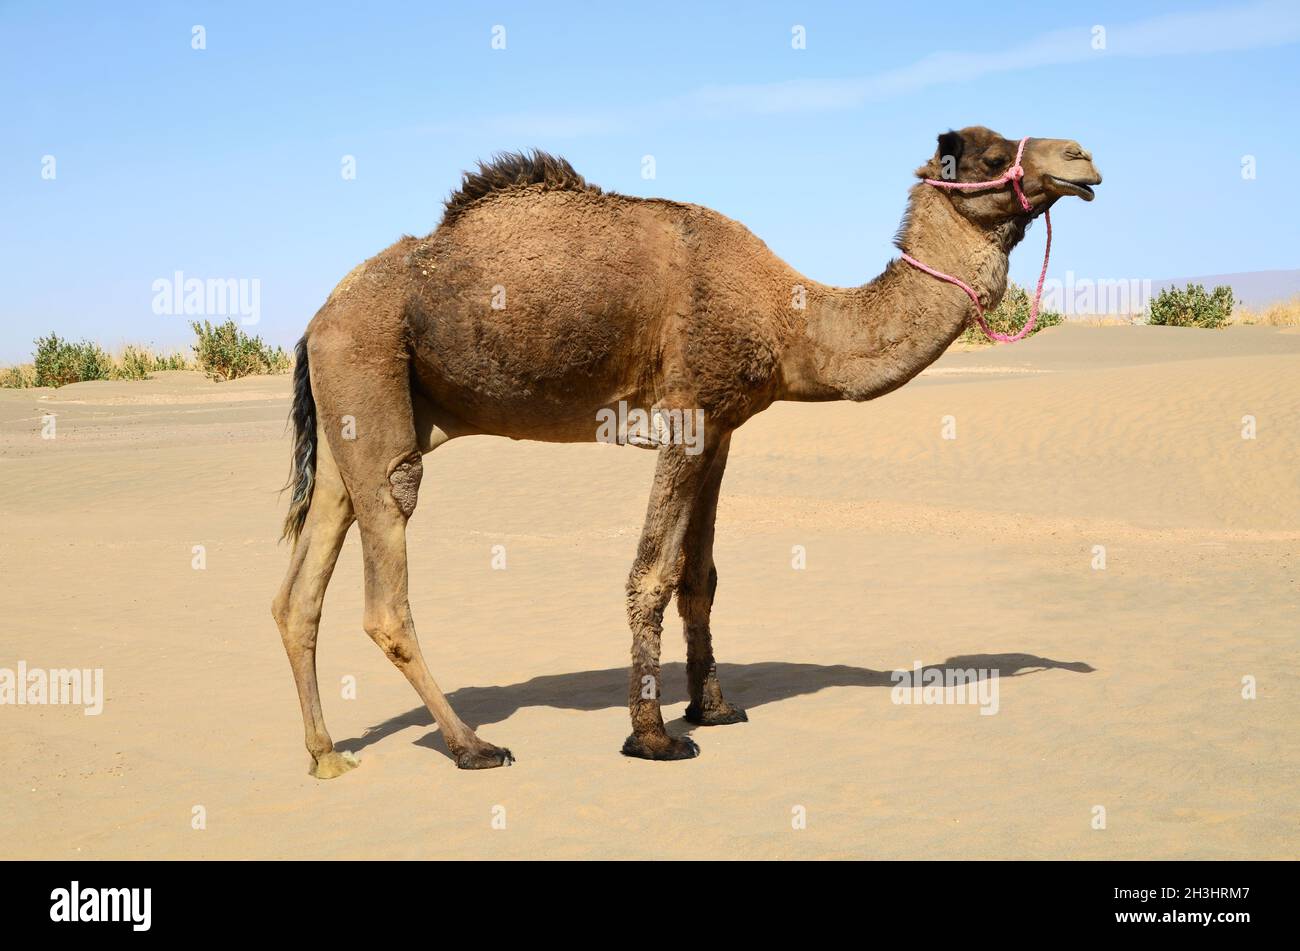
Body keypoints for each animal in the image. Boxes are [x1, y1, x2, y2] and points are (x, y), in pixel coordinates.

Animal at [271, 126, 1101, 775]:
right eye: (990, 152)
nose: (1083, 157)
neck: (791, 320)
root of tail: (316, 320)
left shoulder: (725, 426)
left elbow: (701, 576)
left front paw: (715, 706)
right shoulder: (687, 415)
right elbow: (653, 573)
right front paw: (654, 736)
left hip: (357, 421)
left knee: (299, 590)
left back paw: (325, 753)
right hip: (372, 378)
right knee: (386, 586)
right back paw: (472, 745)